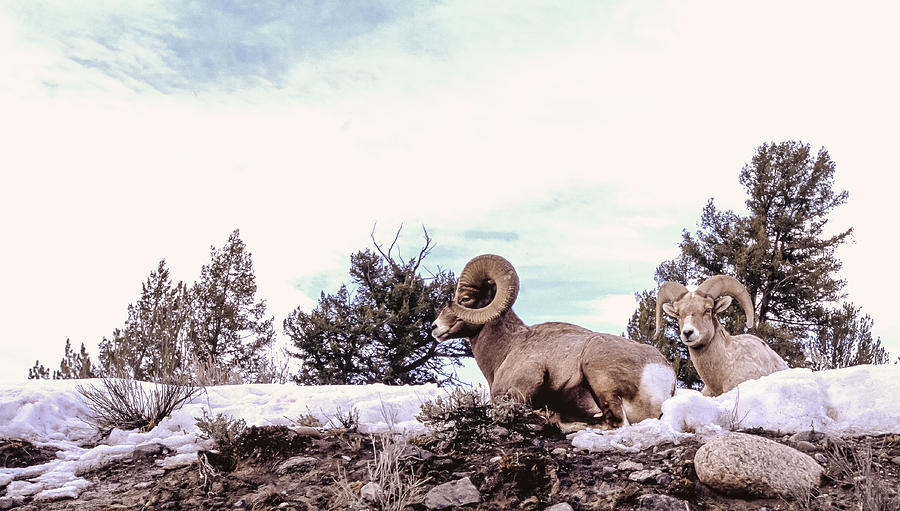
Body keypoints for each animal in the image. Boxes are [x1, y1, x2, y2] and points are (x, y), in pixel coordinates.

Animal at [430, 254, 675, 430]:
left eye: (465, 299)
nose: (435, 327)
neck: (508, 349)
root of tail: (663, 372)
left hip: (597, 371)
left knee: (615, 422)